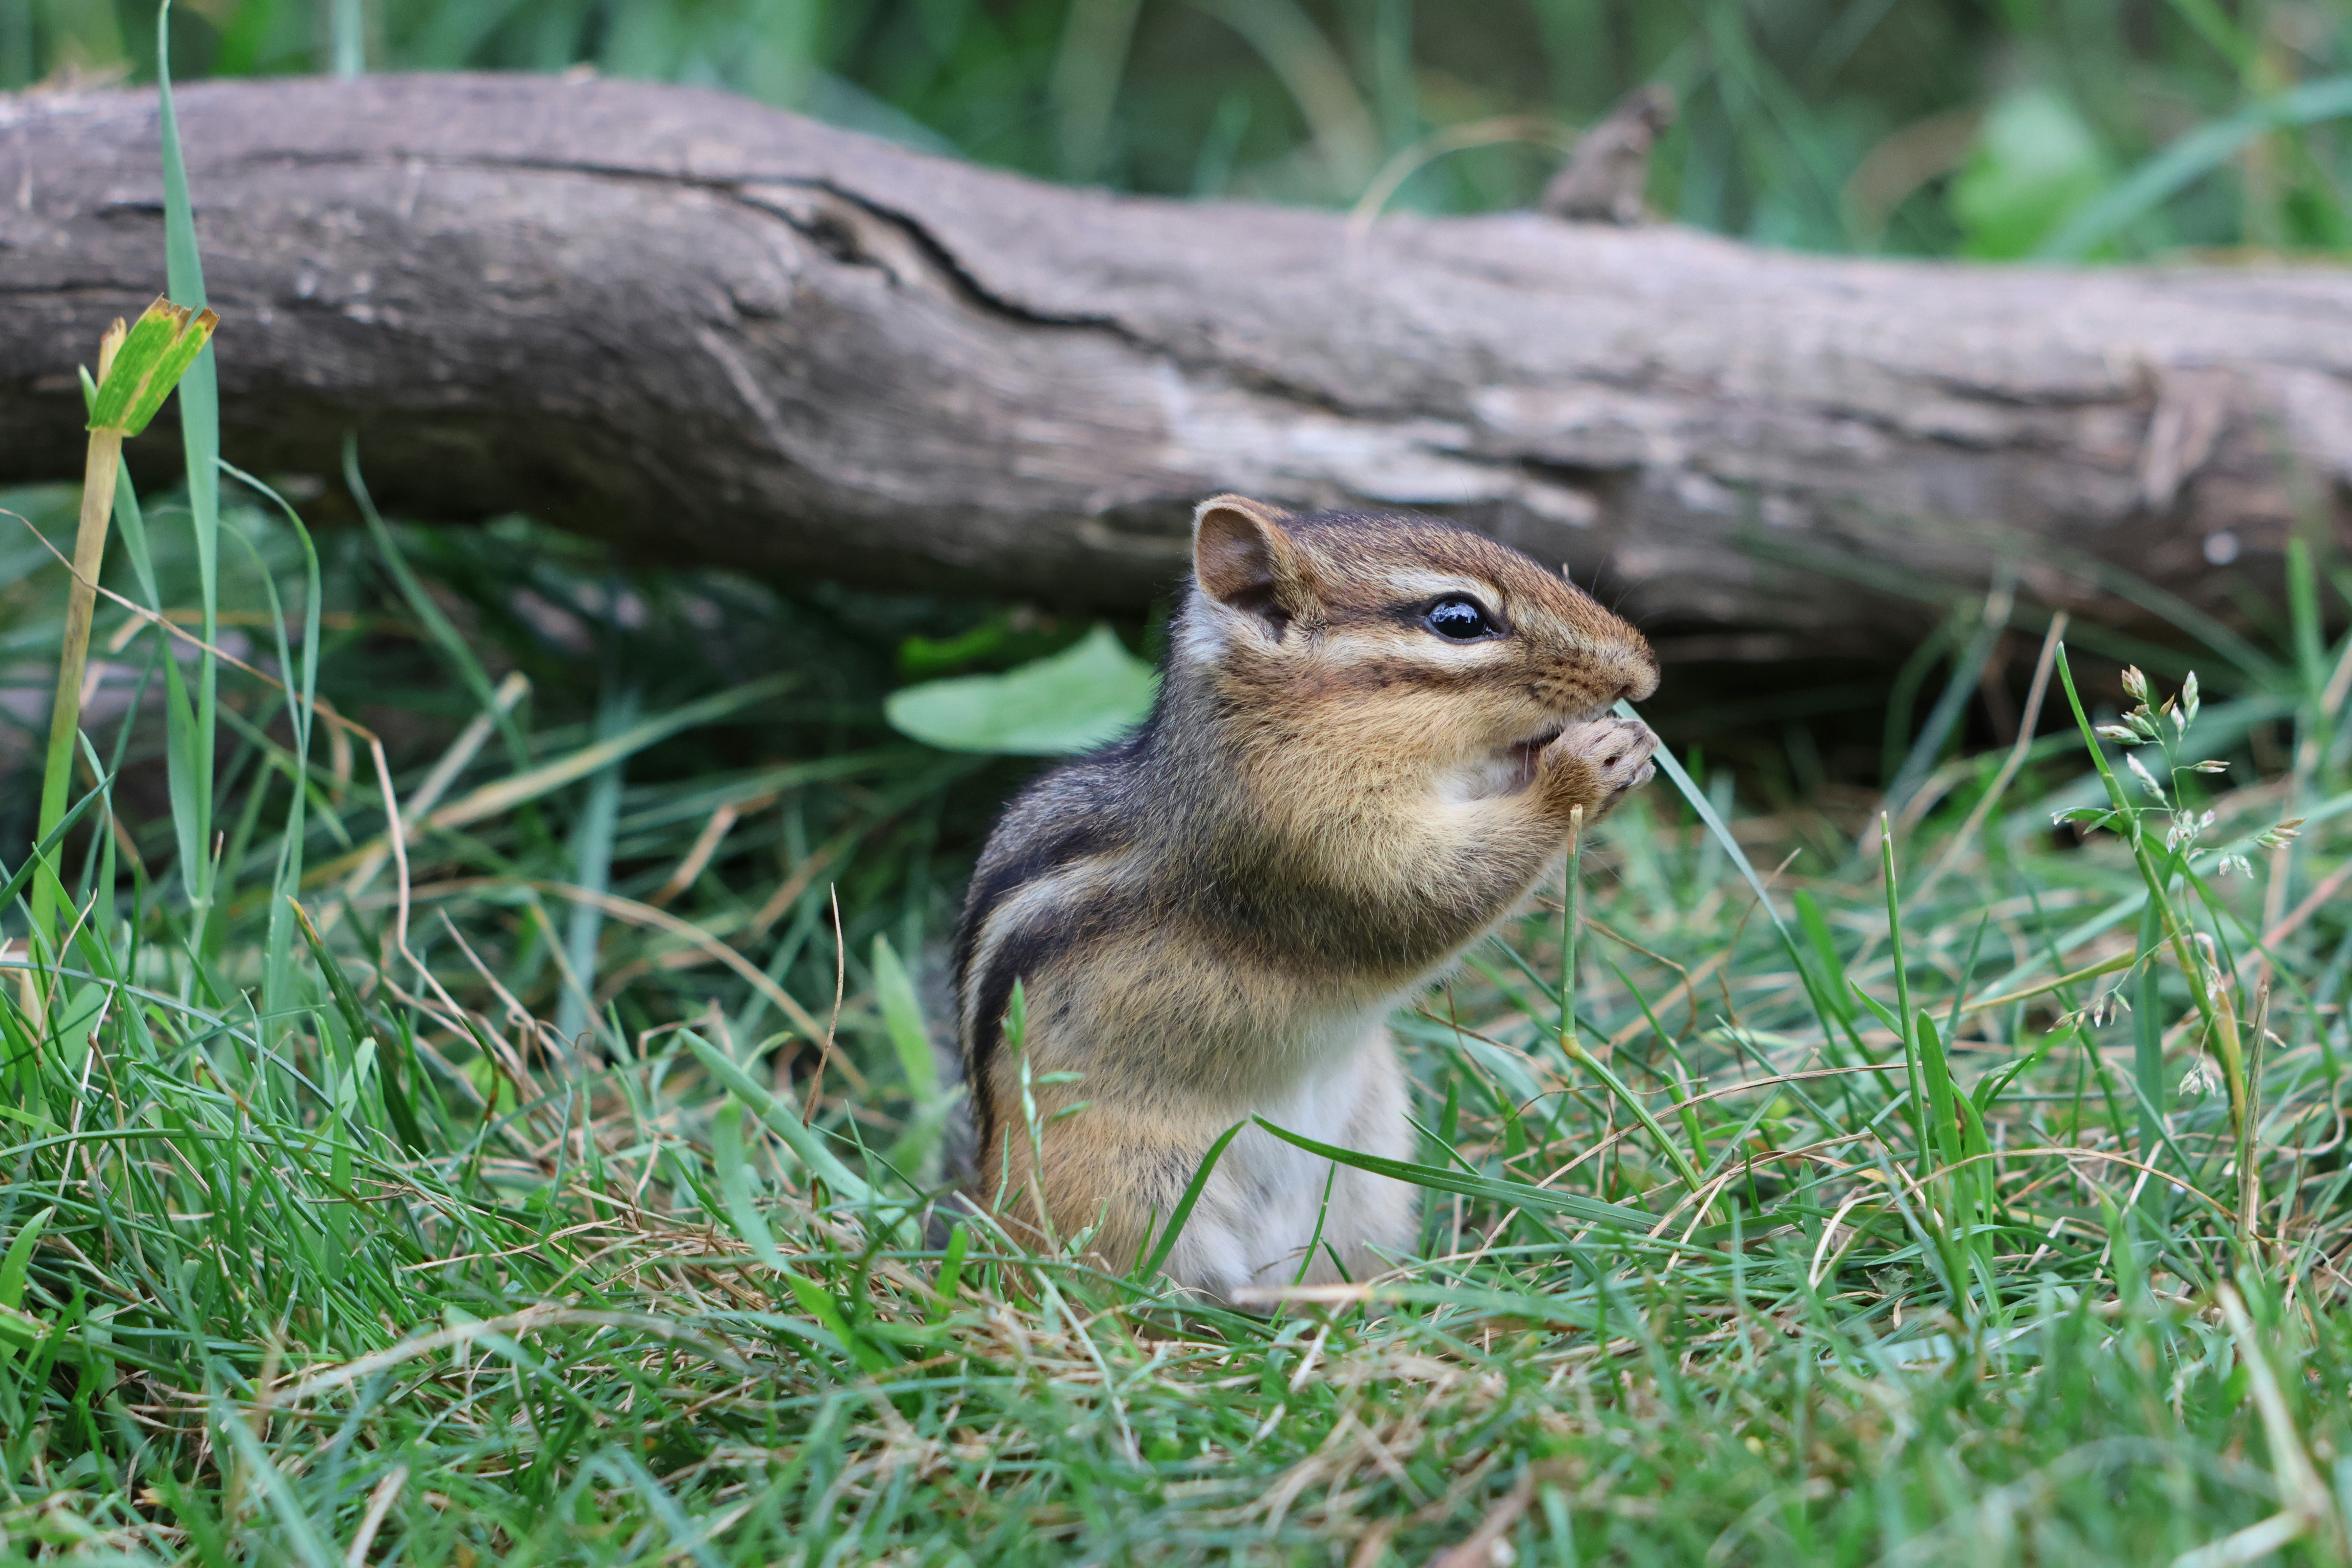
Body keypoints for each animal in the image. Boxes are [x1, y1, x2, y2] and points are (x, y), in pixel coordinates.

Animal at [949, 495, 1660, 1303]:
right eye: (1458, 619)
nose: (1643, 670)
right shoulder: (1311, 842)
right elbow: (1432, 892)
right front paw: (1586, 769)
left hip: (1368, 1179)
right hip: (1125, 1191)